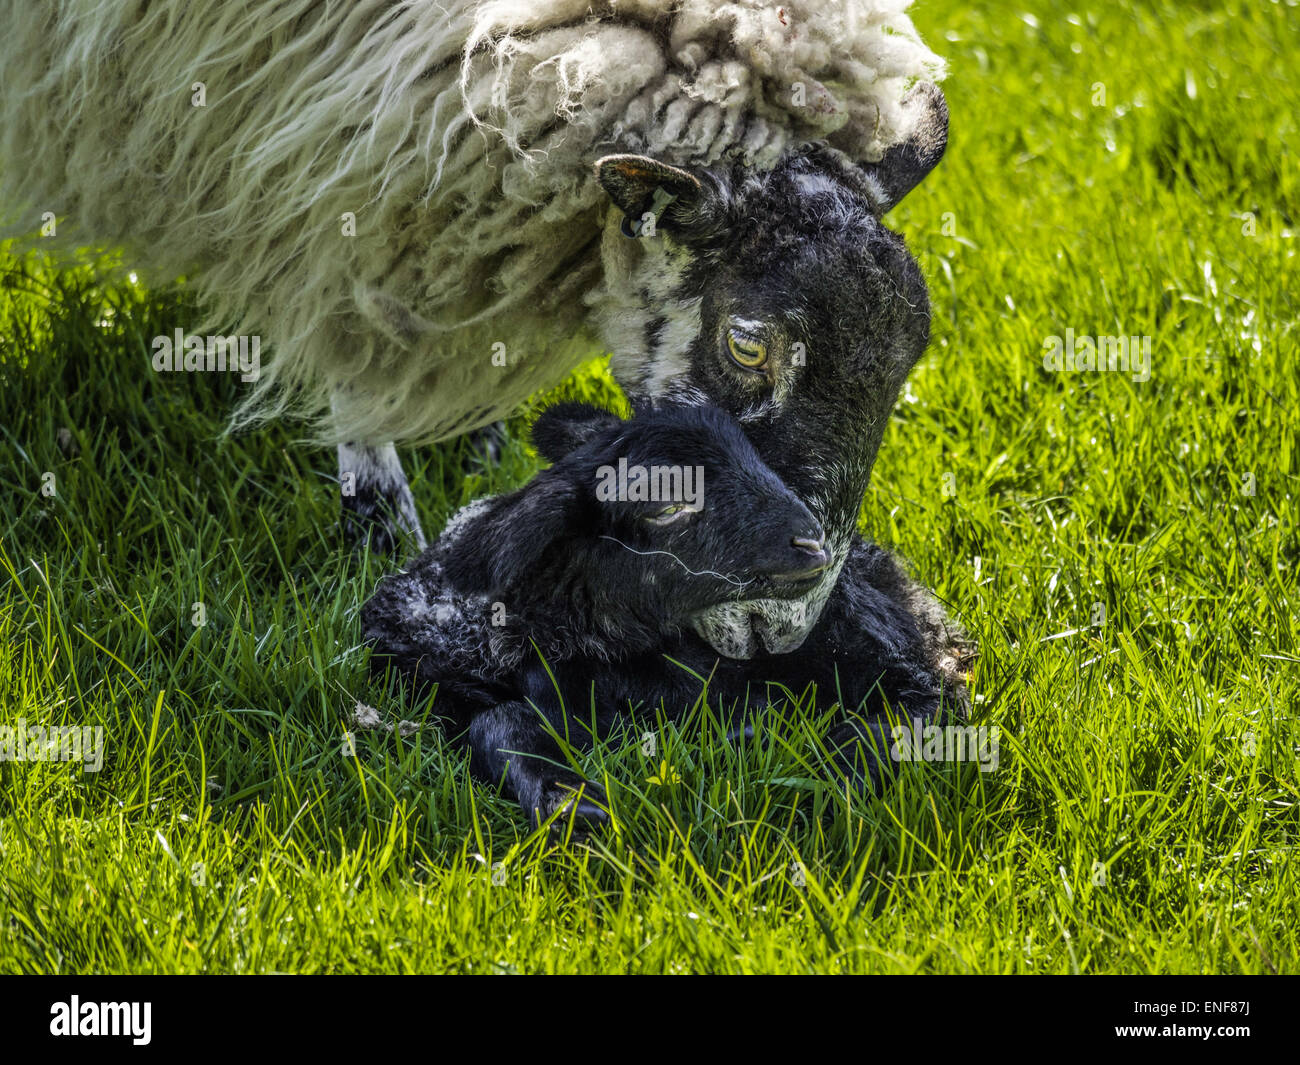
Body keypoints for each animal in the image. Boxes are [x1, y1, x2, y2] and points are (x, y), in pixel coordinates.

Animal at [0, 3, 951, 658]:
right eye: (748, 344)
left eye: (908, 357)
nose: (783, 626)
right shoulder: (338, 154)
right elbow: (353, 328)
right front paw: (379, 521)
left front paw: (480, 440)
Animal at [362, 401, 966, 829]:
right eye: (667, 507)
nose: (813, 543)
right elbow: (499, 722)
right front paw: (576, 811)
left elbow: (882, 725)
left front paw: (811, 793)